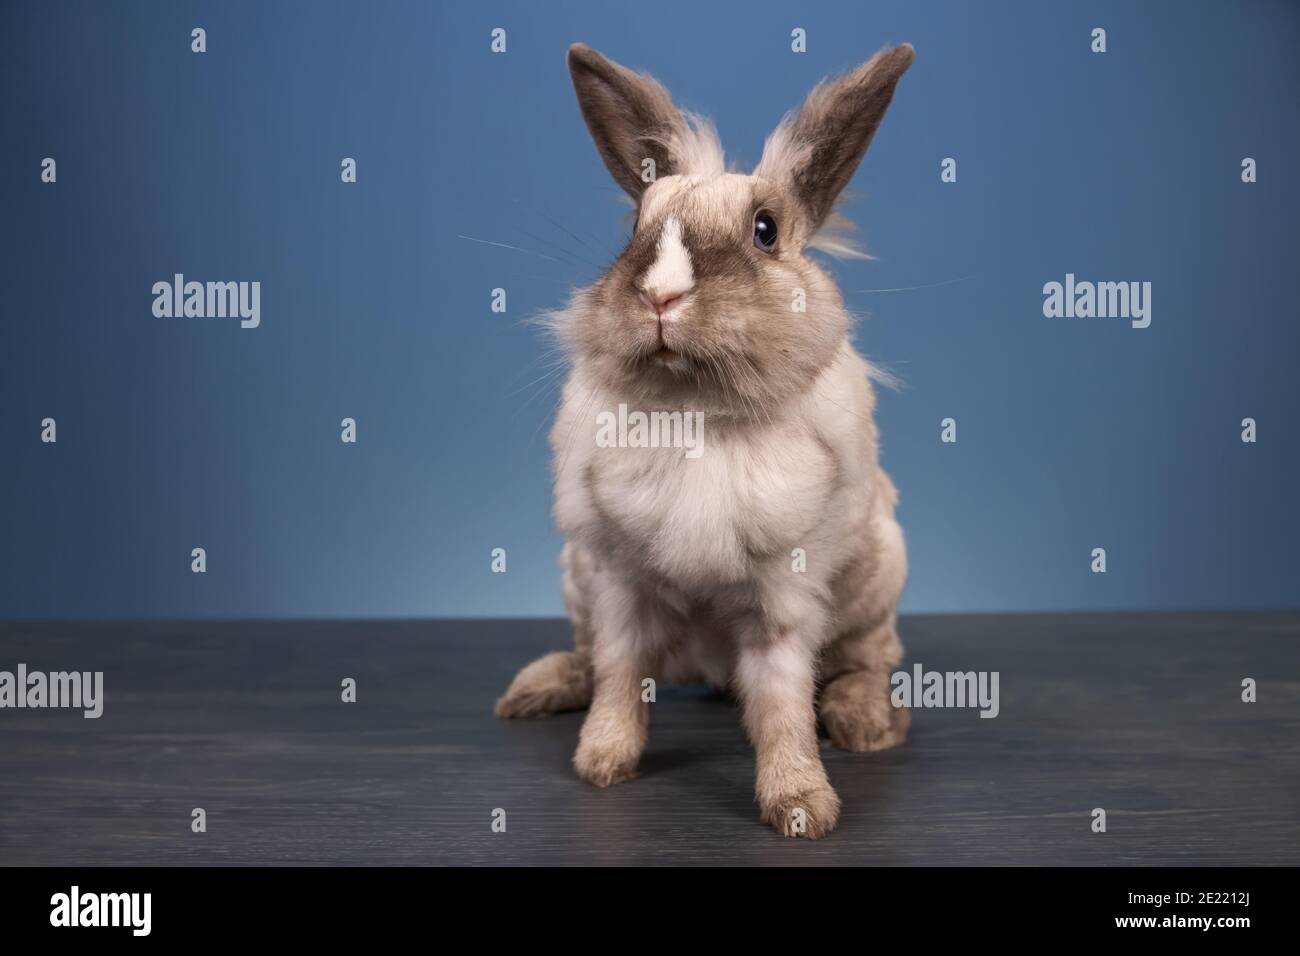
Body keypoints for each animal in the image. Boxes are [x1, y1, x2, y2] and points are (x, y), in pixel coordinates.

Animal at [496, 41, 914, 839]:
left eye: (766, 230)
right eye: (634, 226)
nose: (662, 296)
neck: (696, 412)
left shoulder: (786, 594)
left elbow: (783, 704)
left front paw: (801, 806)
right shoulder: (617, 578)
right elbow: (621, 674)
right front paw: (601, 763)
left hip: (876, 580)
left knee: (867, 659)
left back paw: (866, 723)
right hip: (576, 579)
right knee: (592, 660)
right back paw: (533, 691)